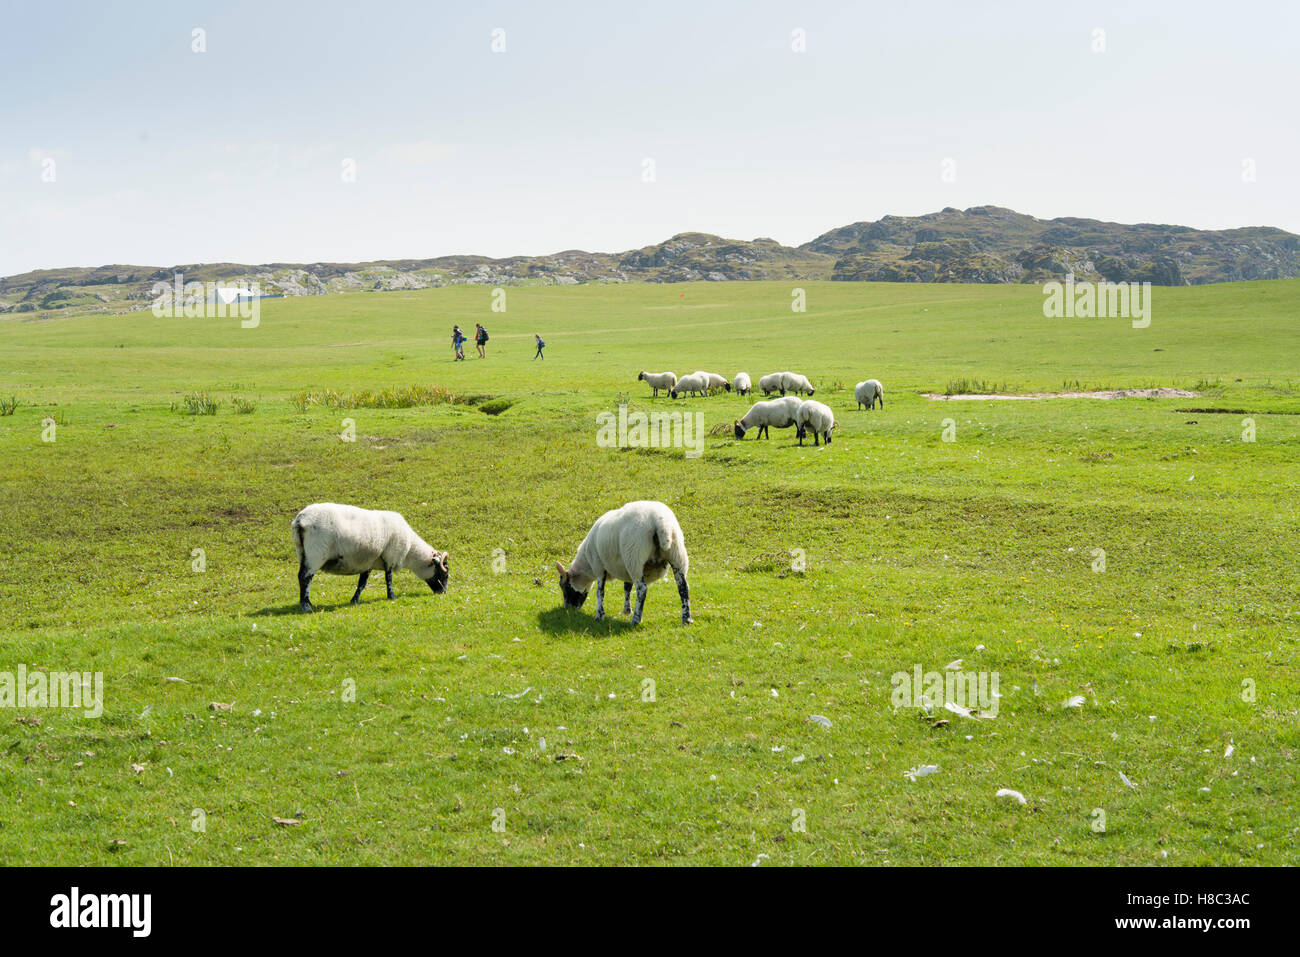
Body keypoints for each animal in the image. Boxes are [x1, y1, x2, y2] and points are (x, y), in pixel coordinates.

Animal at [291, 502, 449, 613]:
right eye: (444, 573)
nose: (443, 592)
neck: (410, 549)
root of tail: (300, 520)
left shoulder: (368, 563)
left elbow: (362, 583)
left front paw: (354, 600)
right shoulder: (390, 556)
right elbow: (389, 578)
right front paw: (391, 597)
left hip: (303, 552)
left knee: (302, 577)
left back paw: (307, 604)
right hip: (316, 553)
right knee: (305, 577)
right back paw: (306, 606)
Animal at [555, 500, 691, 625]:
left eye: (565, 586)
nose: (568, 609)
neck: (587, 564)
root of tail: (660, 522)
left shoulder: (599, 566)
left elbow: (600, 592)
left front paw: (599, 615)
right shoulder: (625, 568)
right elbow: (627, 588)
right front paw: (626, 610)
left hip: (634, 557)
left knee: (642, 589)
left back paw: (636, 619)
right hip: (677, 554)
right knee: (683, 587)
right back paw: (686, 619)